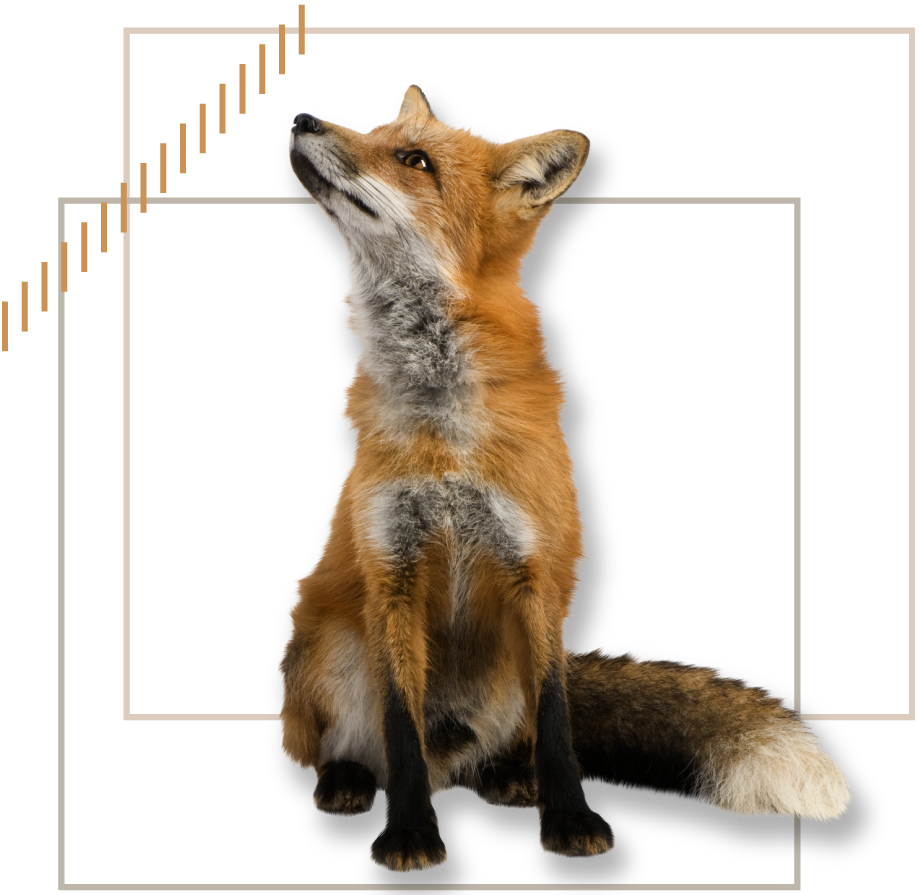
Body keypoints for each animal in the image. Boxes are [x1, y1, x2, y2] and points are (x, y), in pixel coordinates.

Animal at [279, 84, 854, 874]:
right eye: (378, 131)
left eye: (413, 158)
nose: (302, 117)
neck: (447, 431)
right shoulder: (391, 570)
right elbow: (399, 726)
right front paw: (411, 835)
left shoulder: (537, 573)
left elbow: (556, 723)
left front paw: (572, 820)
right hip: (327, 645)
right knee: (364, 750)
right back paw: (349, 781)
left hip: (505, 672)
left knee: (506, 743)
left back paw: (508, 778)